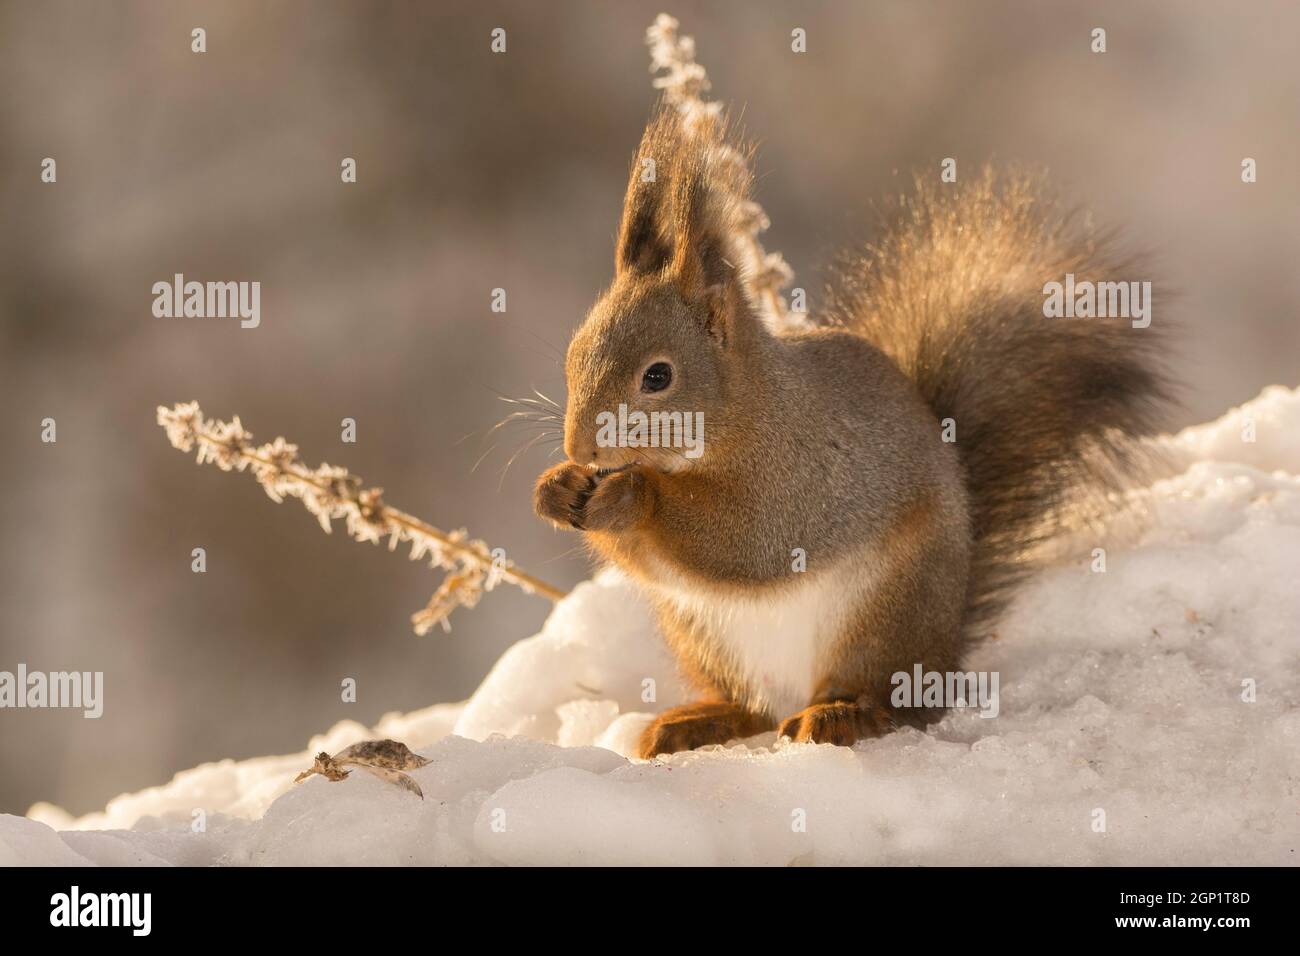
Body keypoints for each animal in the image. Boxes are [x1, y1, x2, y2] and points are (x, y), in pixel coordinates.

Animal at [534, 104, 1172, 759]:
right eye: (573, 354)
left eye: (658, 376)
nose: (580, 447)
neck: (746, 410)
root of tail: (943, 656)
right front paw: (557, 488)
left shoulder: (799, 478)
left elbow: (744, 540)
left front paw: (627, 496)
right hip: (702, 635)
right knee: (751, 707)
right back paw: (696, 722)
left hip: (881, 619)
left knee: (884, 697)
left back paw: (842, 714)